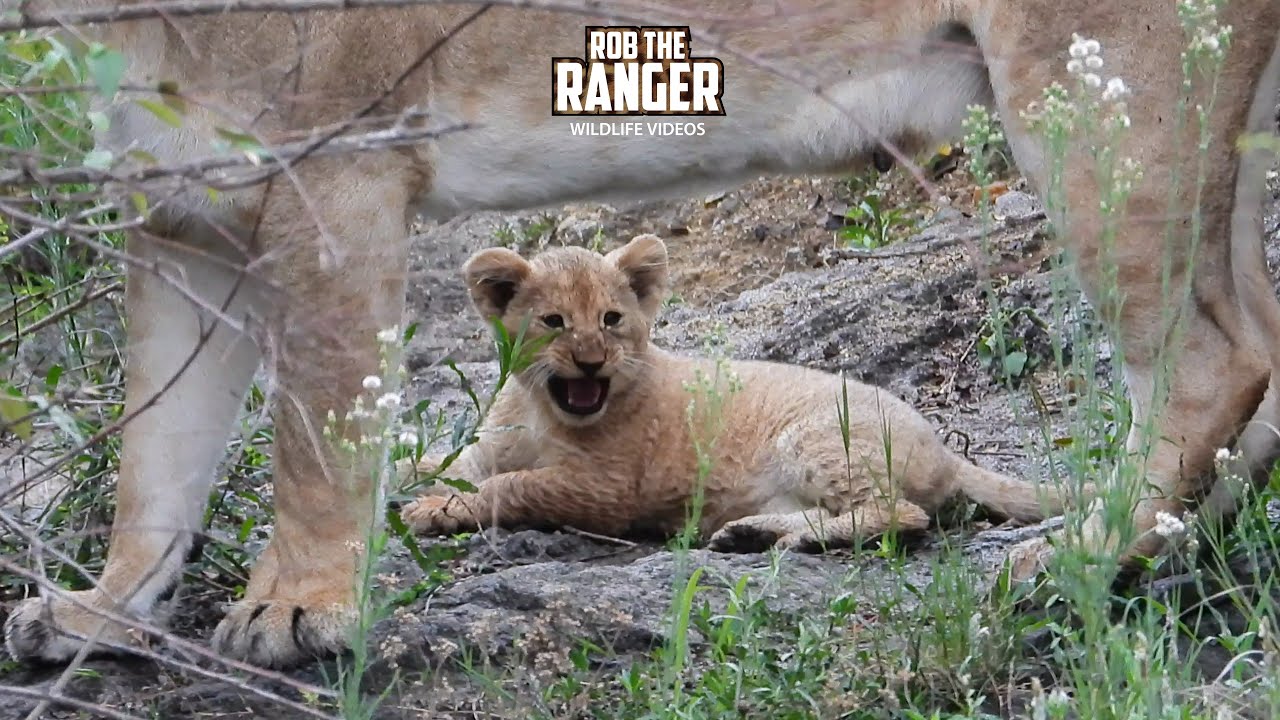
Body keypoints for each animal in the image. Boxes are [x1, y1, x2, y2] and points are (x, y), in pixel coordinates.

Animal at [400, 235, 1084, 549]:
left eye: (612, 320)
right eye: (553, 322)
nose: (592, 363)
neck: (543, 407)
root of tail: (945, 449)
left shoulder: (606, 491)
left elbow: (513, 486)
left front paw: (432, 510)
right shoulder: (488, 447)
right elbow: (443, 463)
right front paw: (407, 482)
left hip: (816, 437)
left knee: (898, 514)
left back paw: (793, 539)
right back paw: (749, 531)